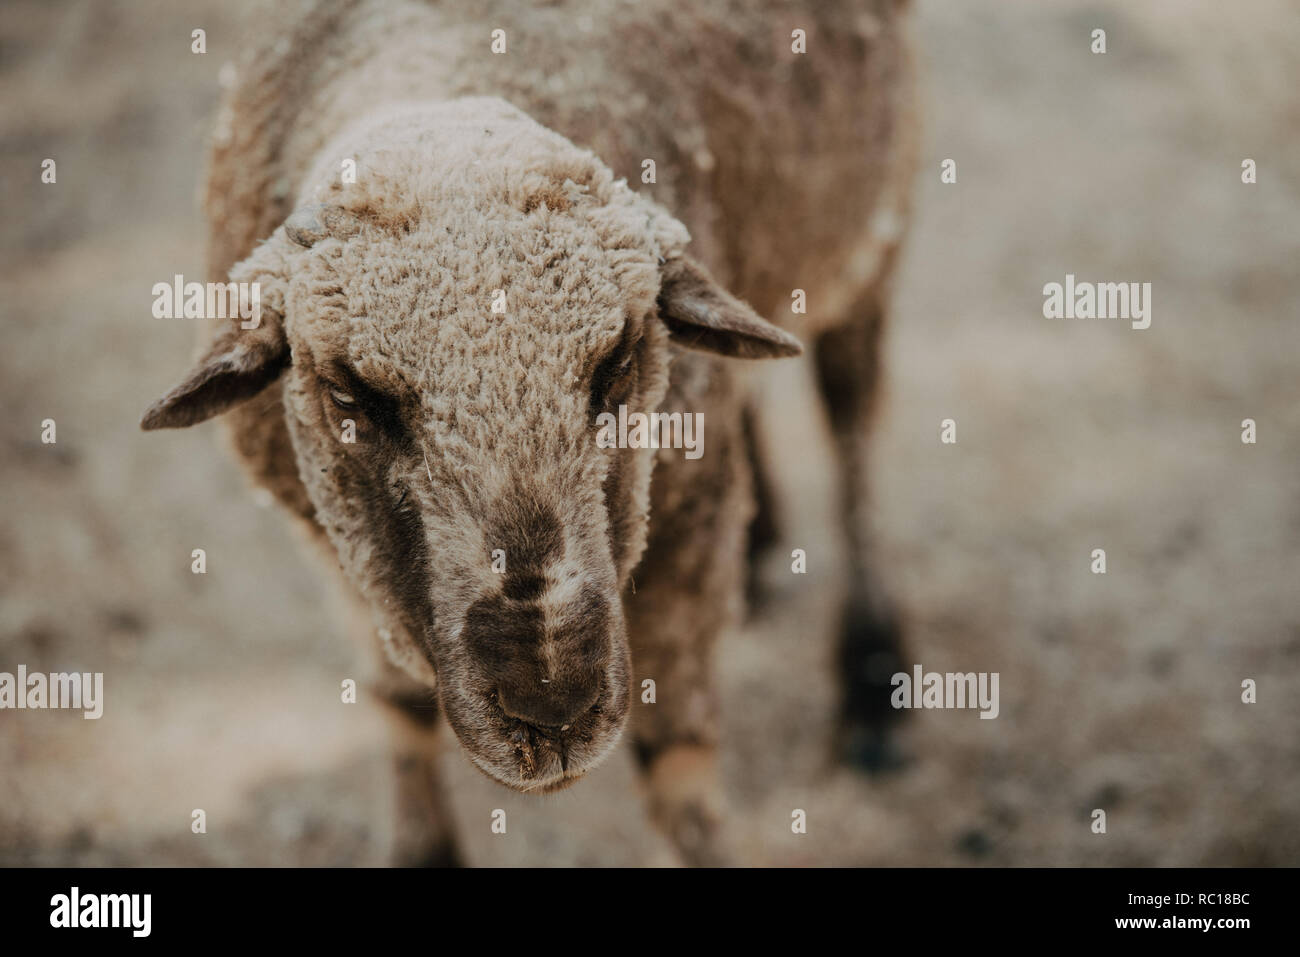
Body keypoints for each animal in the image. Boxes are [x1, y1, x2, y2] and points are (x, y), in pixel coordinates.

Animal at [141, 0, 916, 866]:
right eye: (348, 392)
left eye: (619, 360)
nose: (550, 710)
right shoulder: (332, 541)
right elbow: (397, 703)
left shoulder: (691, 524)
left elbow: (679, 769)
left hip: (875, 226)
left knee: (852, 427)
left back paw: (873, 678)